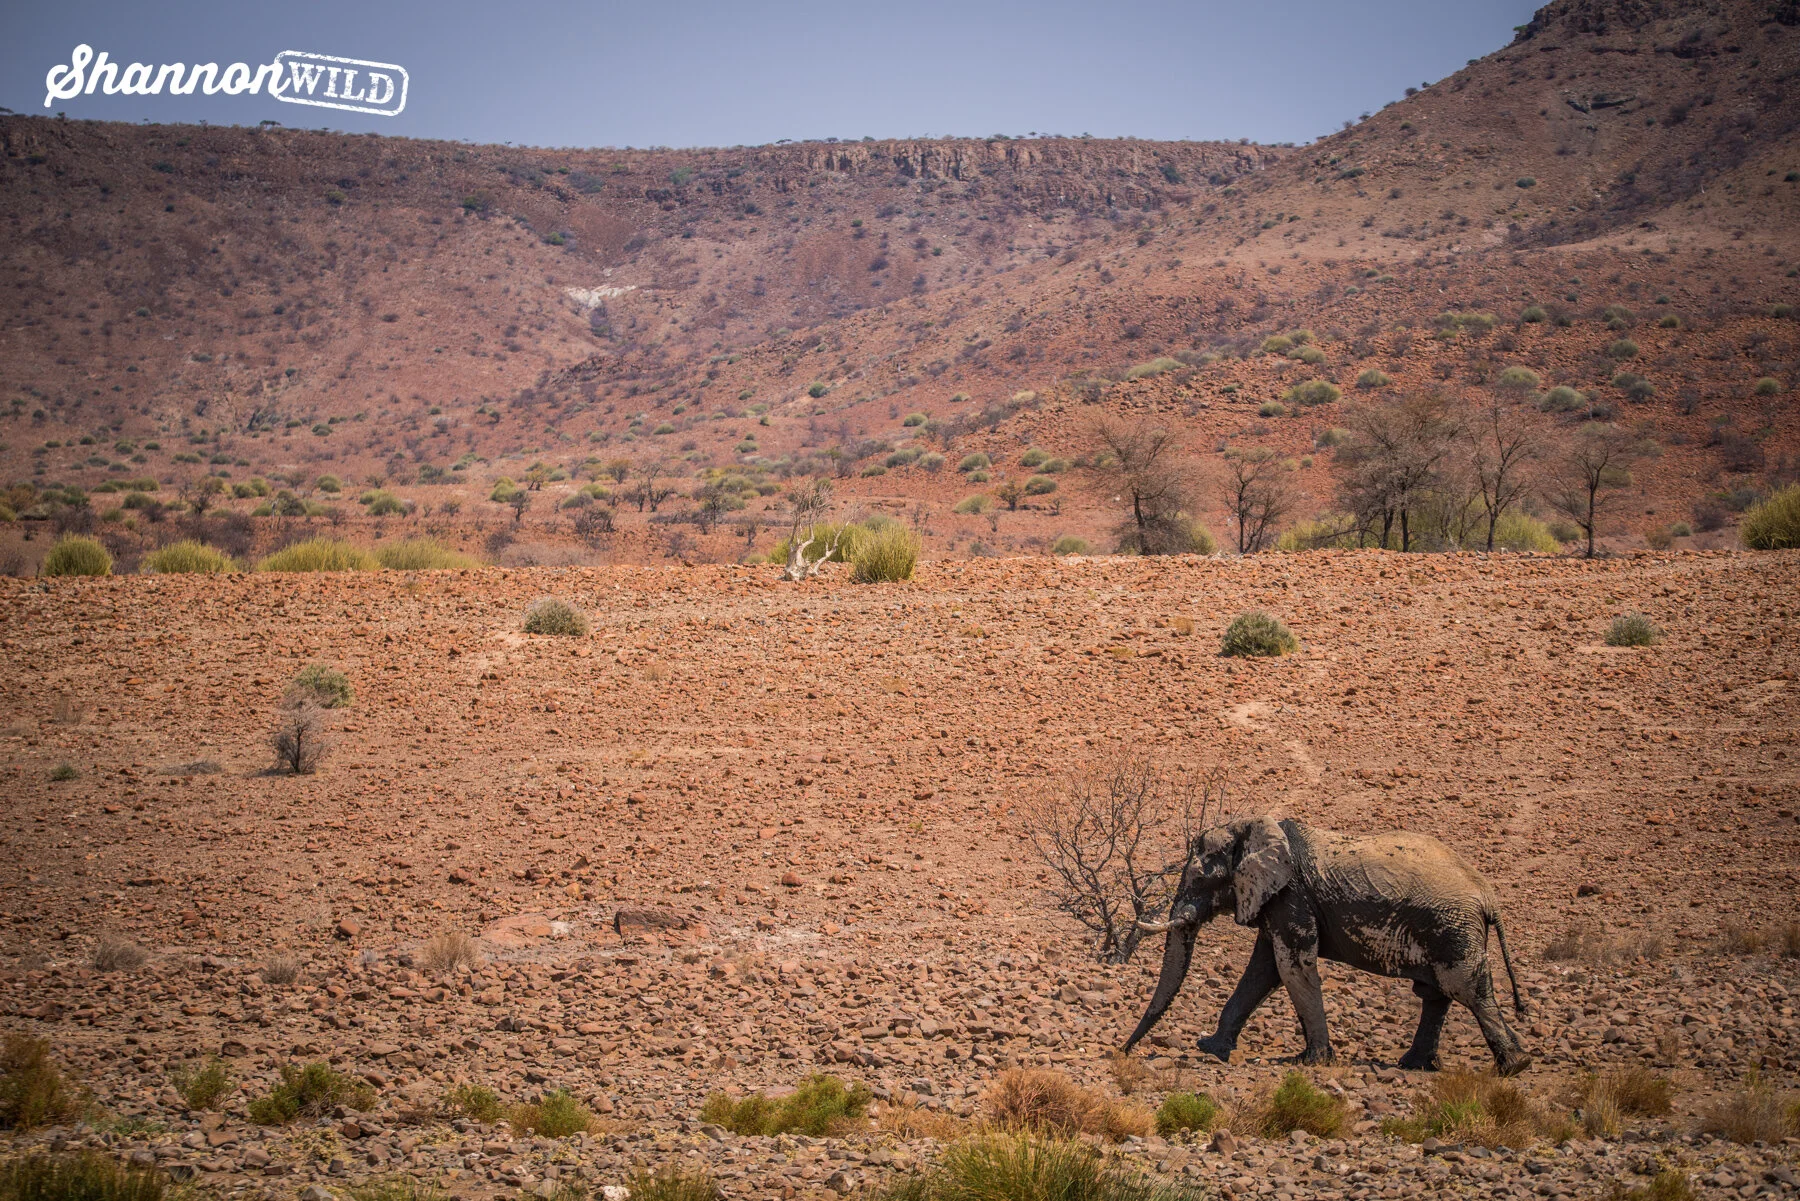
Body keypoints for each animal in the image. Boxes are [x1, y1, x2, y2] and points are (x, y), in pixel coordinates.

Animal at [1123, 816, 1532, 1076]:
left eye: (1200, 878)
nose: (1123, 1051)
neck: (1253, 828)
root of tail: (1488, 898)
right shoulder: (1277, 901)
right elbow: (1262, 971)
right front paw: (1211, 1048)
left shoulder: (1293, 895)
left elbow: (1291, 967)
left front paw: (1313, 1062)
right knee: (1436, 995)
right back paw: (1416, 1066)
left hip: (1453, 930)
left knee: (1467, 990)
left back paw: (1515, 1067)